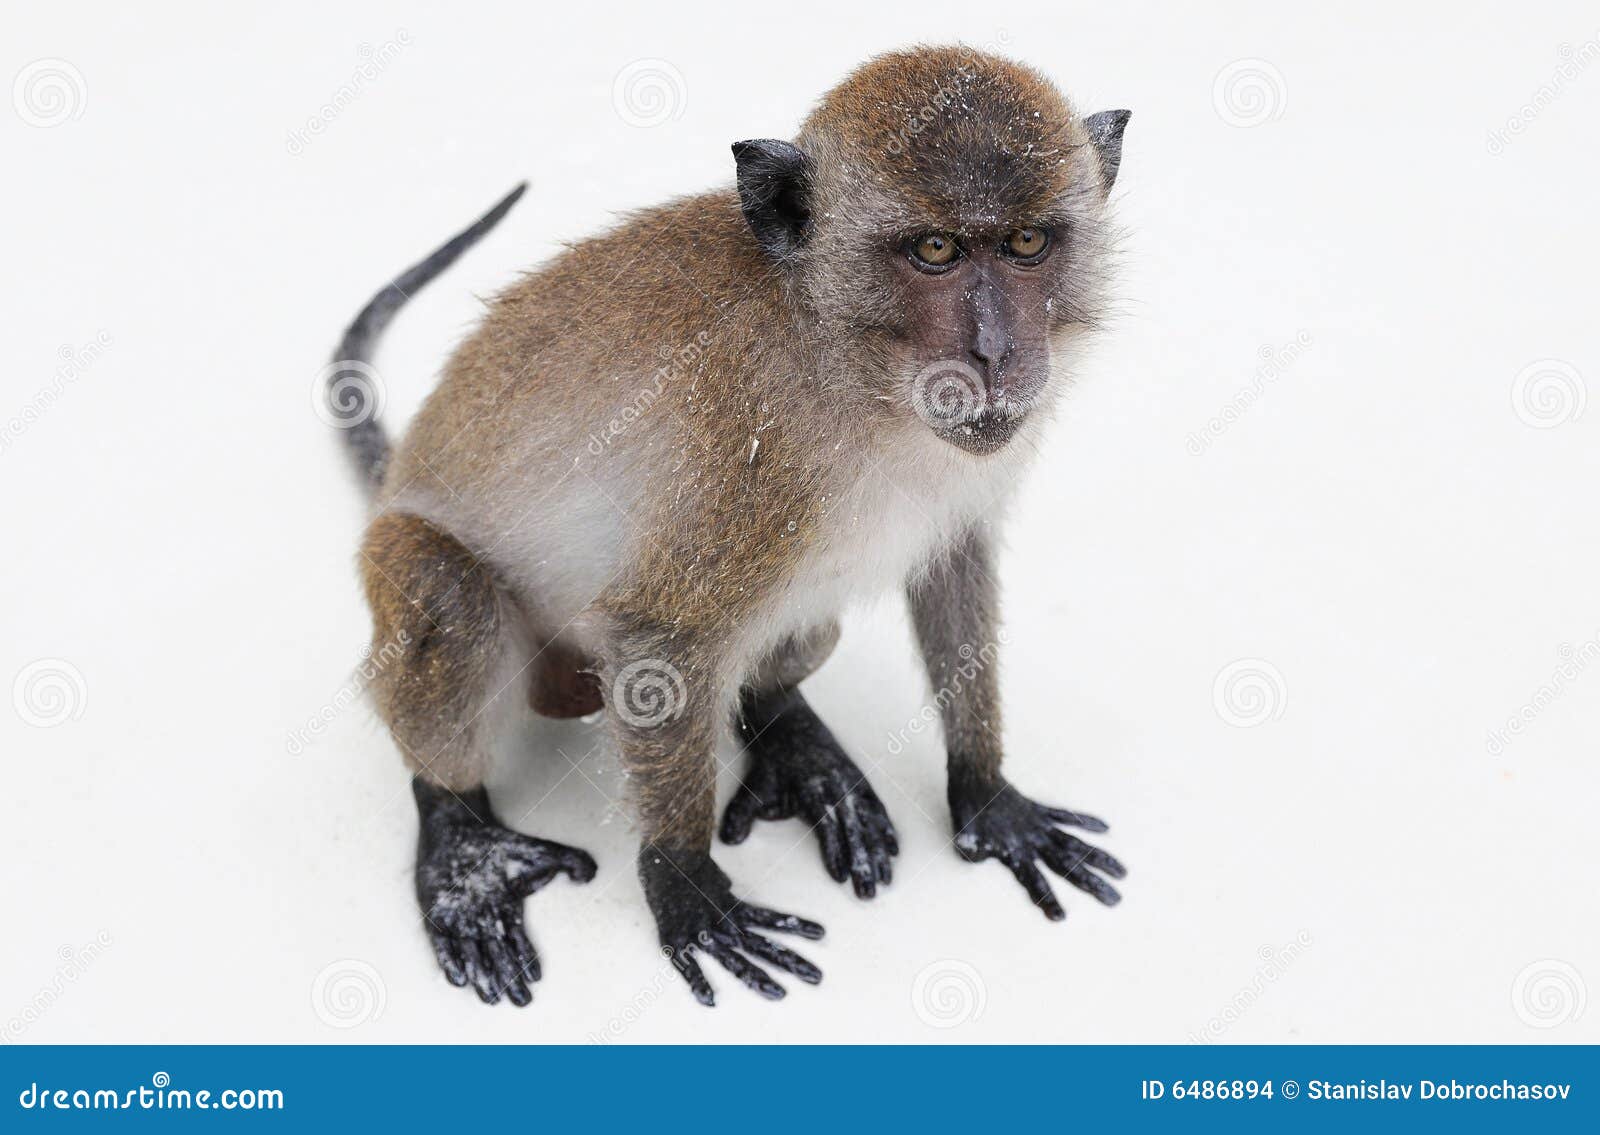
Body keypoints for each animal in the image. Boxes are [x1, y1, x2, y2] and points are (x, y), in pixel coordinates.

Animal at [329, 46, 1131, 1008]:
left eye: (1026, 244)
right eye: (935, 250)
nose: (996, 352)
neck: (853, 366)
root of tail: (398, 480)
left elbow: (953, 567)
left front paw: (986, 795)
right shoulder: (750, 451)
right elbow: (660, 634)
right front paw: (684, 883)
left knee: (807, 622)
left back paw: (789, 731)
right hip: (422, 564)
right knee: (448, 596)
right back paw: (461, 837)